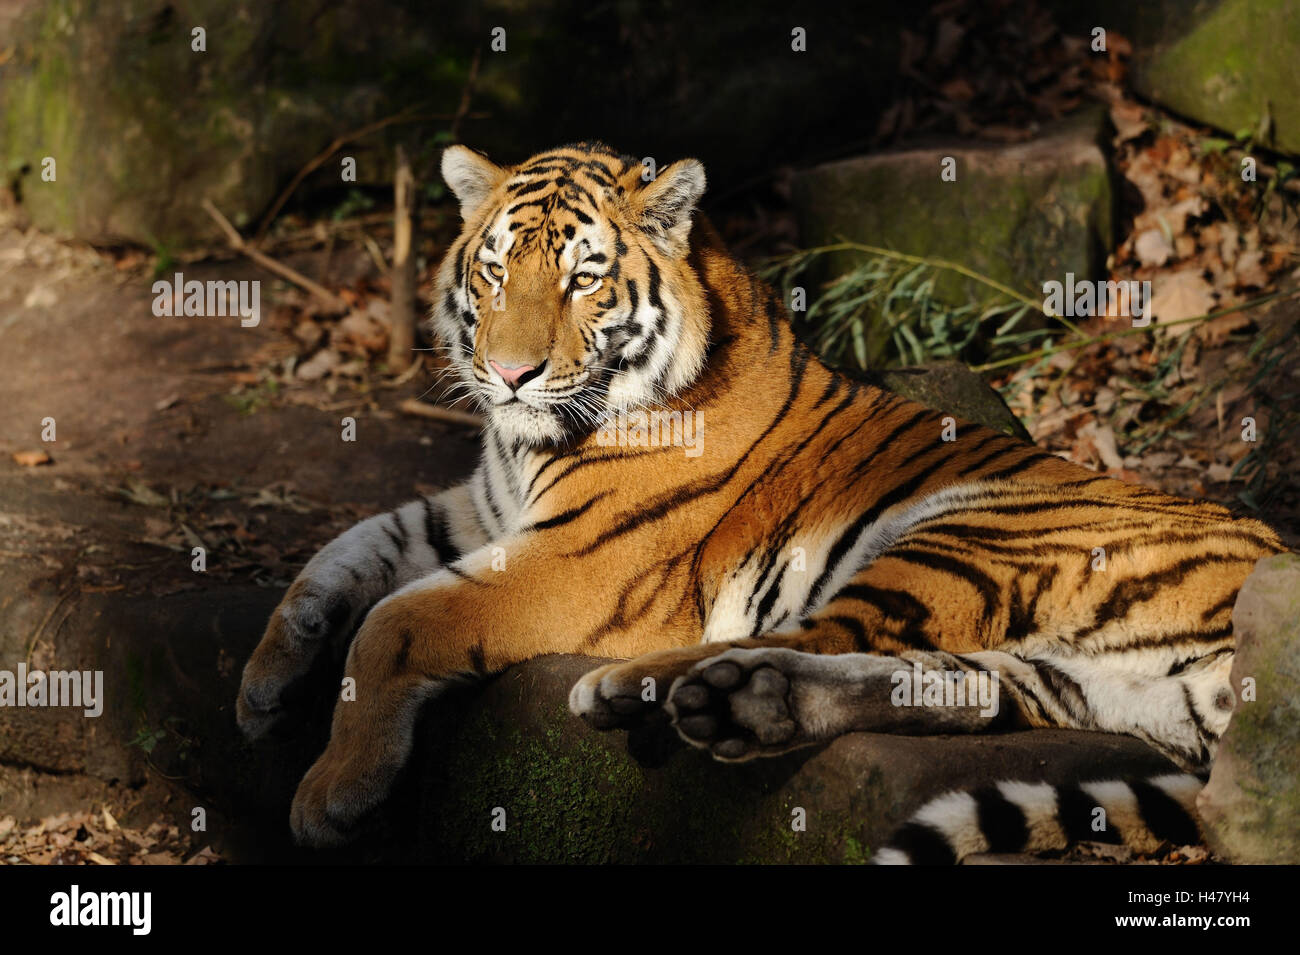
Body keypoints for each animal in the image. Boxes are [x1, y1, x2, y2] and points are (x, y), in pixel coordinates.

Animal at [236, 140, 1286, 855]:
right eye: (496, 270)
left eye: (581, 278)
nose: (508, 373)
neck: (523, 440)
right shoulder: (480, 510)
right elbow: (343, 553)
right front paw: (263, 687)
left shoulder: (571, 562)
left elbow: (394, 622)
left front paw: (330, 791)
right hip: (1075, 678)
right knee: (958, 686)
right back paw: (745, 707)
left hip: (971, 530)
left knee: (825, 634)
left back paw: (643, 687)